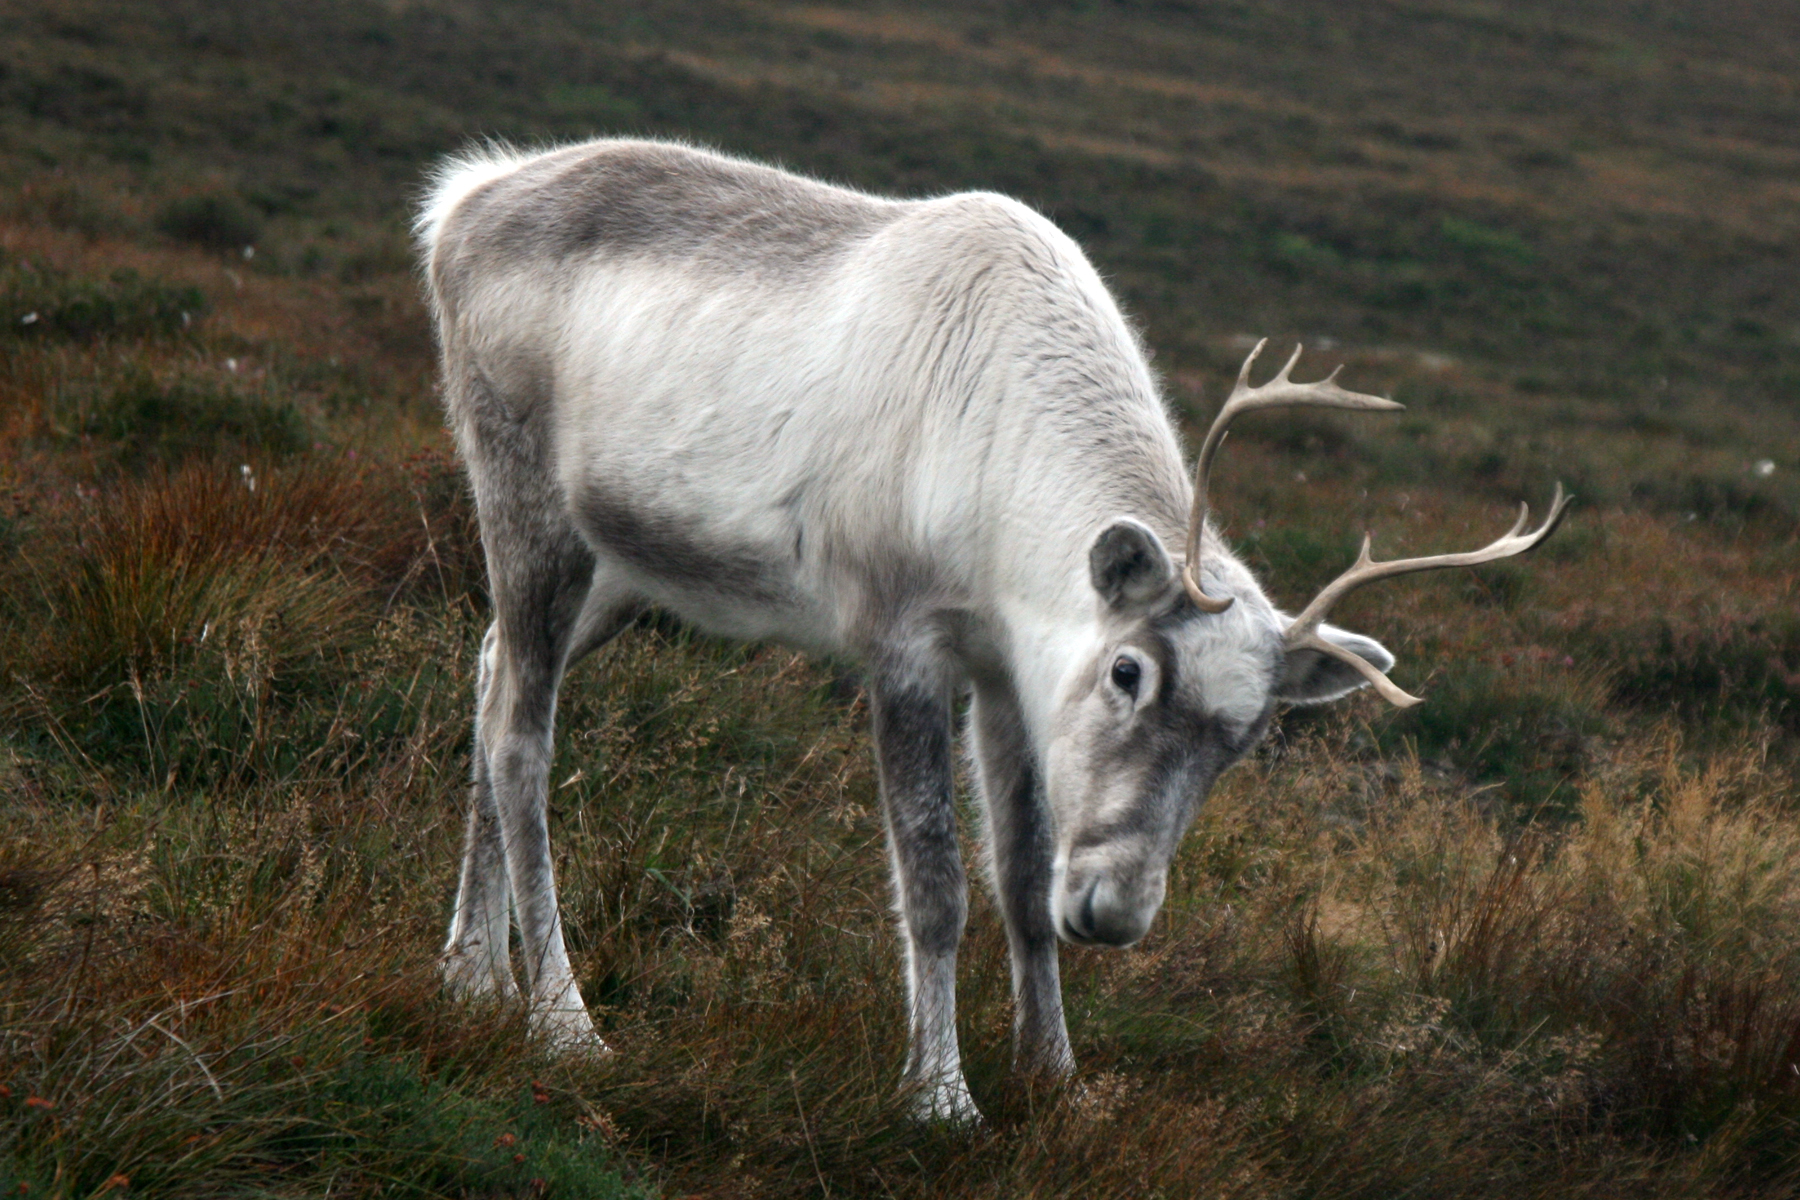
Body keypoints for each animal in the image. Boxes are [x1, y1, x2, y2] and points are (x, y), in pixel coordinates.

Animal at [416, 138, 1568, 1124]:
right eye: (1130, 671)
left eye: (1248, 738)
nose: (1115, 911)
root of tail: (460, 203)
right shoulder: (905, 642)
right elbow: (935, 885)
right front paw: (940, 1095)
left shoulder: (1010, 677)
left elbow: (1019, 876)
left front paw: (1056, 1077)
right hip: (526, 504)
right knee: (522, 737)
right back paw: (563, 1021)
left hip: (623, 567)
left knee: (490, 669)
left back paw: (471, 972)